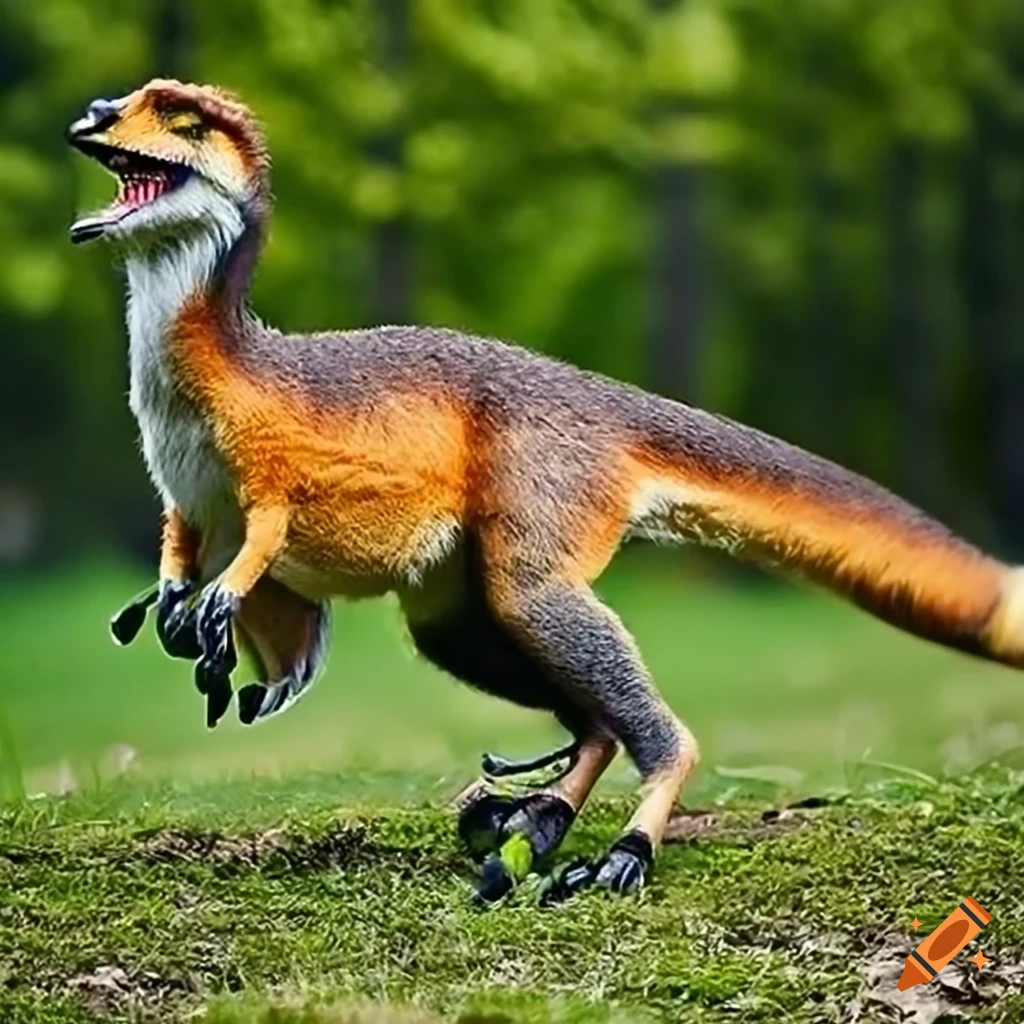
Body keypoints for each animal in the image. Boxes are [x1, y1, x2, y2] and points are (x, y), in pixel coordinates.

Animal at [67, 79, 1024, 903]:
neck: (205, 373)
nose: (96, 111)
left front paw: (222, 603)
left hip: (543, 486)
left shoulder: (272, 471)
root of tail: (596, 402)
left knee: (560, 625)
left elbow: (265, 533)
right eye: (126, 101)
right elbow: (184, 544)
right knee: (529, 673)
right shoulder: (191, 497)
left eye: (180, 117)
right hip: (456, 599)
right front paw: (176, 599)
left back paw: (628, 842)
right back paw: (542, 817)